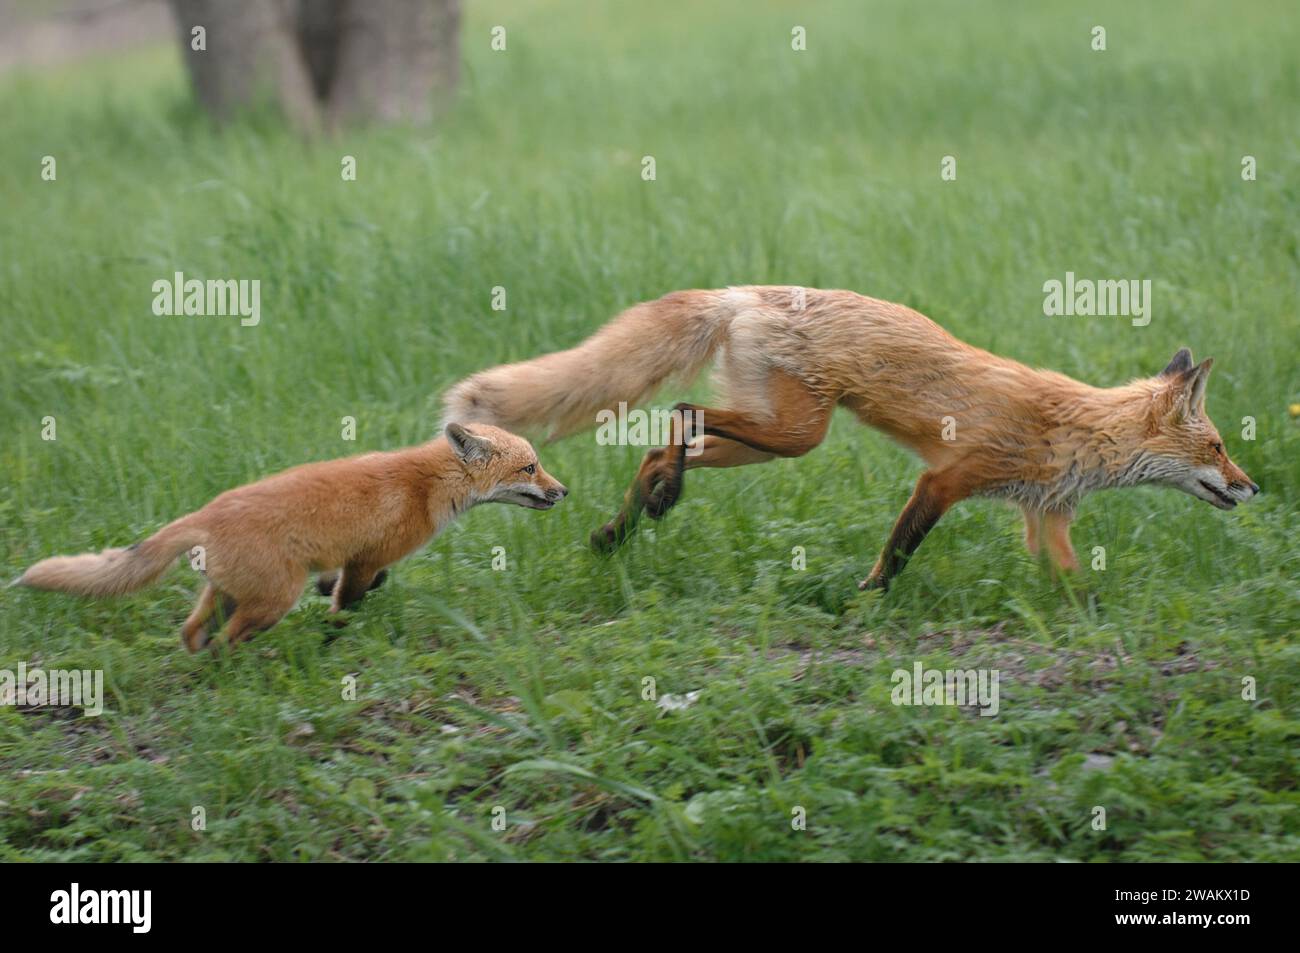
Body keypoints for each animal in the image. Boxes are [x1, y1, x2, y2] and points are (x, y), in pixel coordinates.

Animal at [13, 424, 567, 651]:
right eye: (530, 467)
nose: (564, 492)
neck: (426, 485)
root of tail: (206, 512)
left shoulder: (359, 560)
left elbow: (355, 585)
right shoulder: (366, 557)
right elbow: (348, 602)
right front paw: (333, 635)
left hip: (227, 594)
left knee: (190, 634)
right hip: (272, 599)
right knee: (226, 643)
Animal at [443, 286, 1259, 591]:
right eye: (1220, 448)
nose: (1255, 487)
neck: (1073, 431)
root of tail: (746, 292)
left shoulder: (1044, 515)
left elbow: (1072, 583)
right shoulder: (947, 478)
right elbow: (900, 548)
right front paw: (869, 598)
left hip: (776, 435)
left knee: (655, 443)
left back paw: (623, 526)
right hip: (798, 432)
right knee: (681, 411)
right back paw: (659, 499)